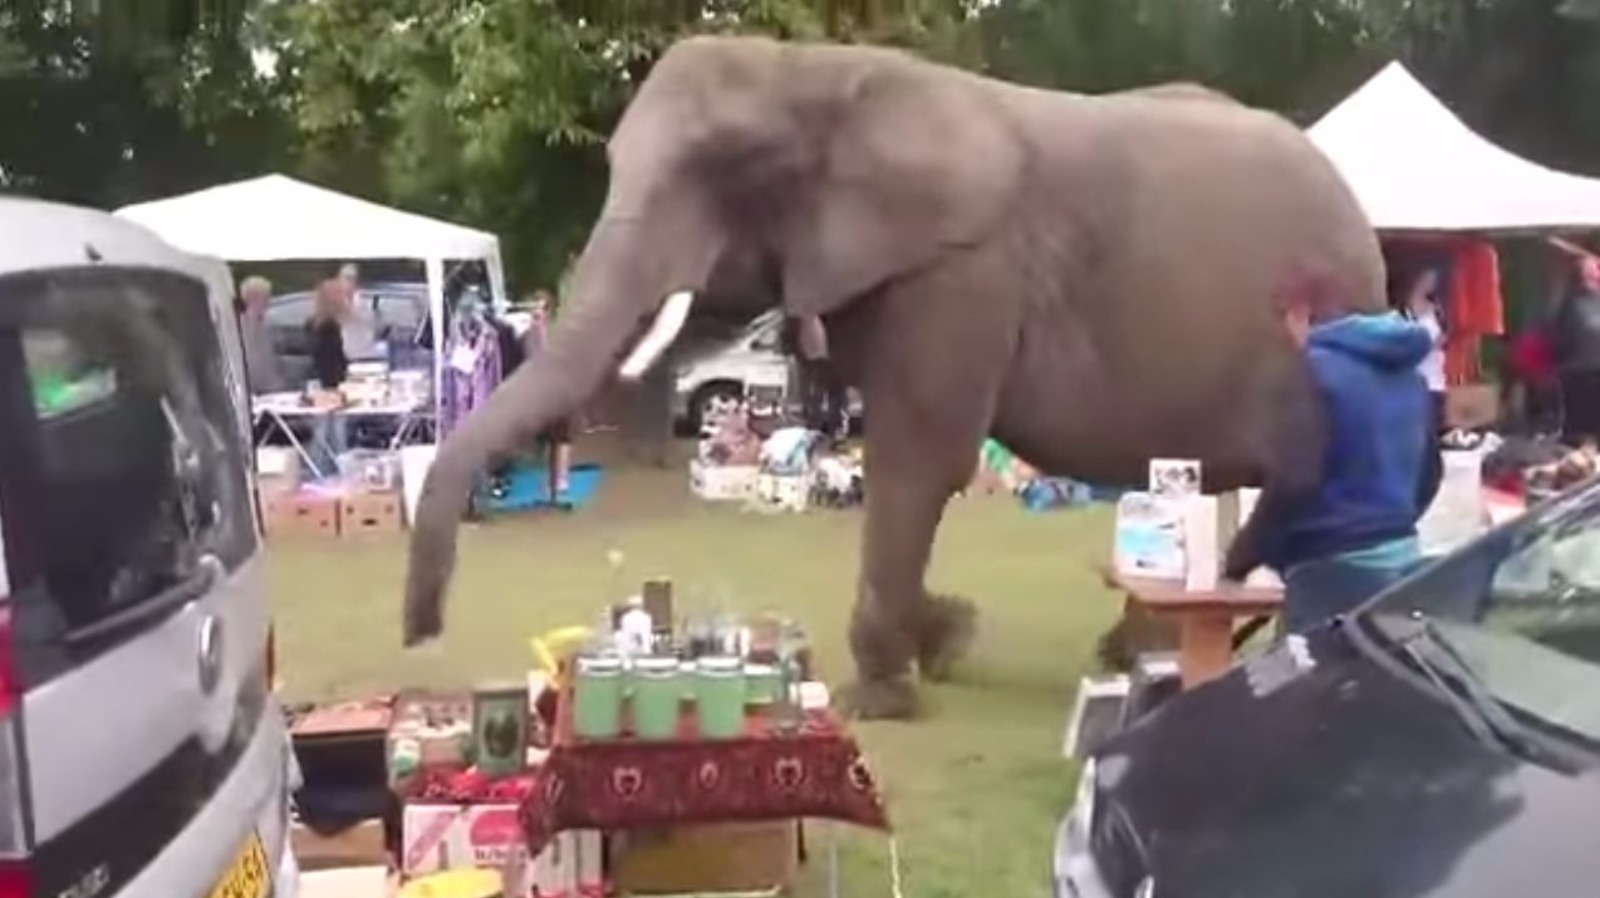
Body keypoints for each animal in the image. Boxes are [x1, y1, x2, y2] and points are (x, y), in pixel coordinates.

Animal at [401, 35, 1384, 720]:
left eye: (729, 168)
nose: (422, 634)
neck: (822, 73)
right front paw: (948, 640)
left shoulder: (963, 272)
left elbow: (920, 457)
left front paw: (884, 697)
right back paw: (1136, 656)